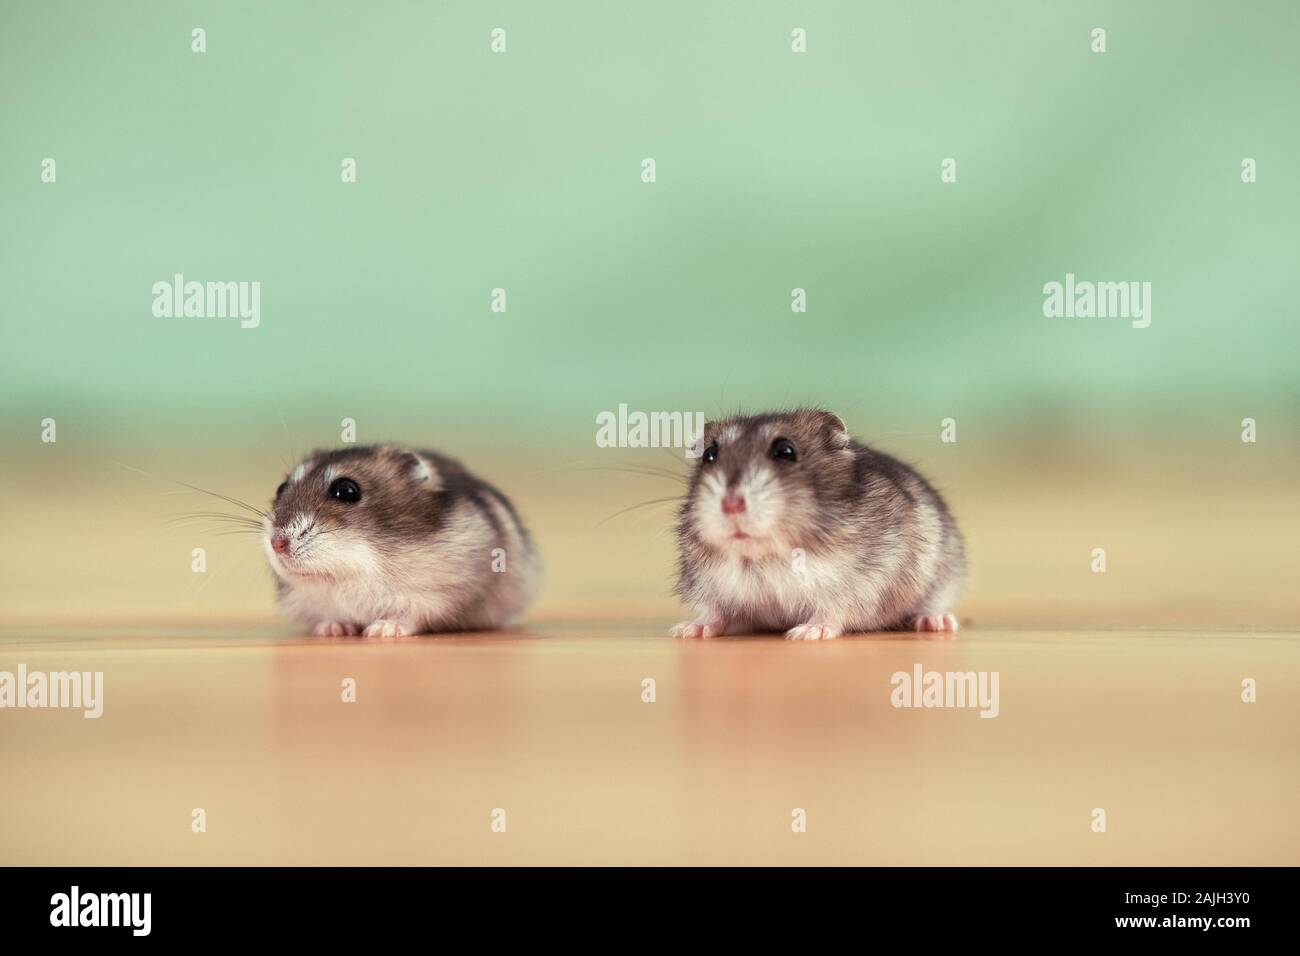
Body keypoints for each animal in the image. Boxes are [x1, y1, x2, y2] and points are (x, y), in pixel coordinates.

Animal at [262, 445, 538, 636]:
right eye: (280, 487)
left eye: (346, 490)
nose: (277, 543)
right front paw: (332, 630)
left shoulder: (439, 597)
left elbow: (413, 615)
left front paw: (381, 631)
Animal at [673, 409, 965, 640]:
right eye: (709, 455)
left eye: (785, 451)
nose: (731, 505)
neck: (764, 556)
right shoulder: (710, 587)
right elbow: (715, 613)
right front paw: (687, 630)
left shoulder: (862, 585)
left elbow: (832, 610)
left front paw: (806, 633)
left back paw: (936, 621)